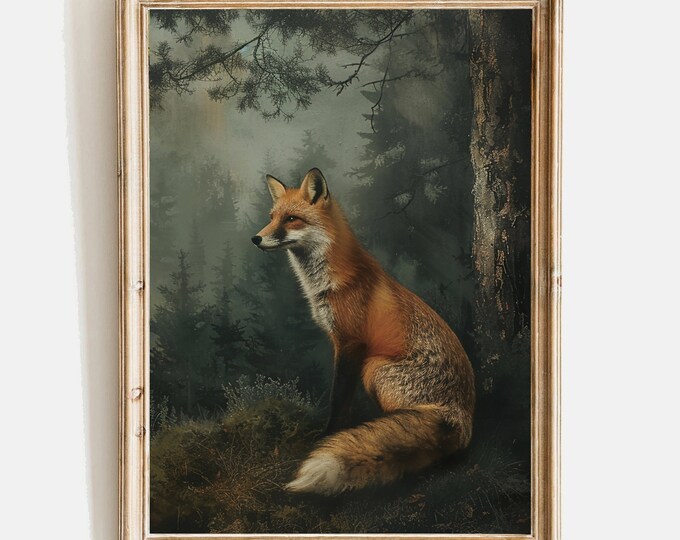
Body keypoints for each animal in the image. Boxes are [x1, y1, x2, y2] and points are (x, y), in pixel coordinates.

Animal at [251, 167, 475, 495]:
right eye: (271, 216)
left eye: (291, 218)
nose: (256, 238)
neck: (328, 283)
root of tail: (462, 417)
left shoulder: (350, 344)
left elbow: (339, 399)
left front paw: (329, 435)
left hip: (375, 368)